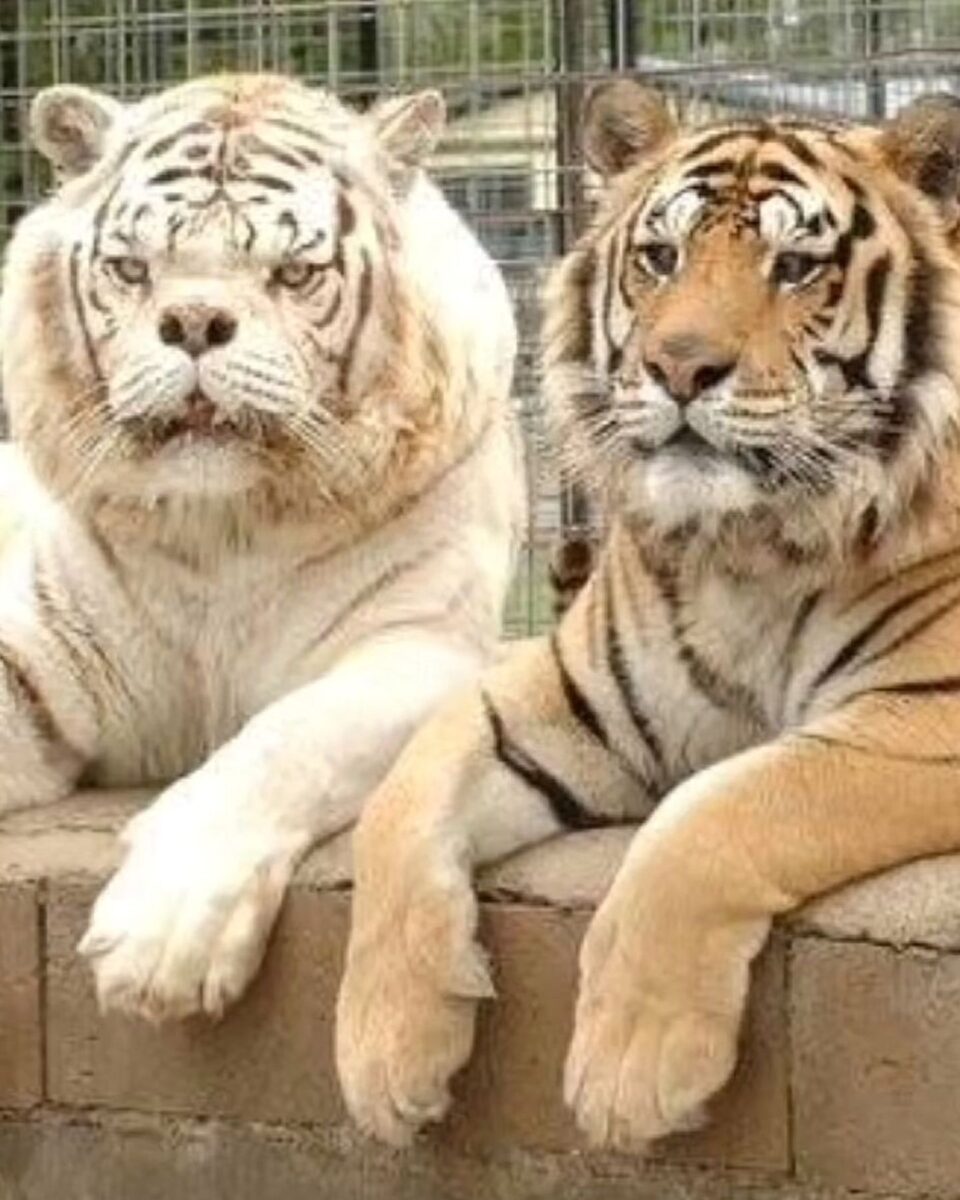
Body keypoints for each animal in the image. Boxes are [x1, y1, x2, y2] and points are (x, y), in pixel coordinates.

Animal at [0, 73, 522, 1023]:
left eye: (293, 273)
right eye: (132, 268)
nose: (195, 321)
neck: (223, 530)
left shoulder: (420, 647)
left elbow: (285, 742)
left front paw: (161, 940)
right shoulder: (36, 649)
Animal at [336, 80, 960, 1150]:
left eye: (797, 267)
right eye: (661, 257)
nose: (680, 368)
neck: (747, 550)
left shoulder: (928, 711)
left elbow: (715, 809)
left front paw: (632, 1069)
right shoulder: (565, 692)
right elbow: (403, 797)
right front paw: (382, 1056)